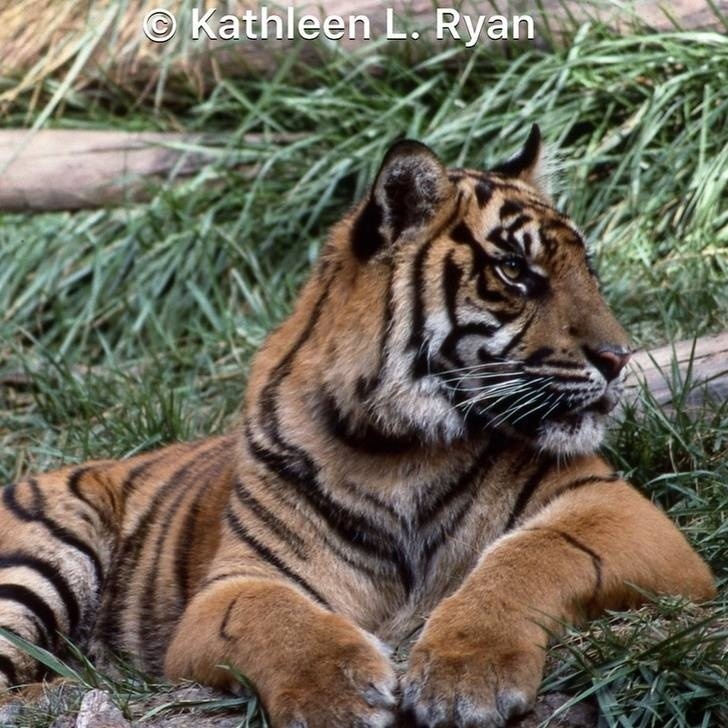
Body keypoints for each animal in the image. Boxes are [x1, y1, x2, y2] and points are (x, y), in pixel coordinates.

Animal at [0, 125, 715, 728]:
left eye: (586, 269)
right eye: (515, 270)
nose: (620, 357)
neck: (400, 448)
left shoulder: (619, 511)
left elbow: (529, 556)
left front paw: (466, 673)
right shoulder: (239, 582)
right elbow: (278, 621)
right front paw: (338, 693)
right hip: (46, 552)